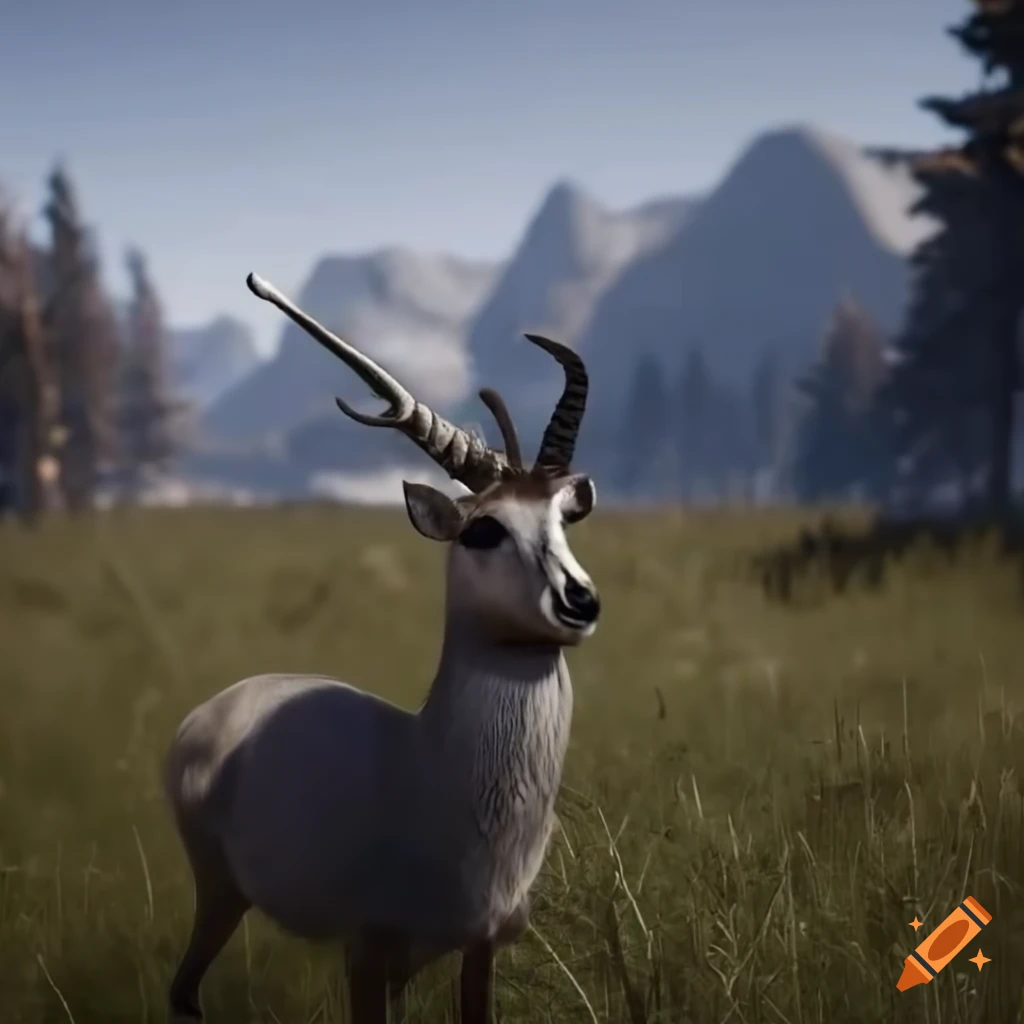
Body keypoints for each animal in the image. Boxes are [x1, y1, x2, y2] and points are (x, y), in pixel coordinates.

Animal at [165, 272, 601, 1023]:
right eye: (483, 529)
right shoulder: (367, 947)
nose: (578, 600)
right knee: (182, 991)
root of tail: (212, 710)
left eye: (564, 518)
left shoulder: (479, 945)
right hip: (221, 889)